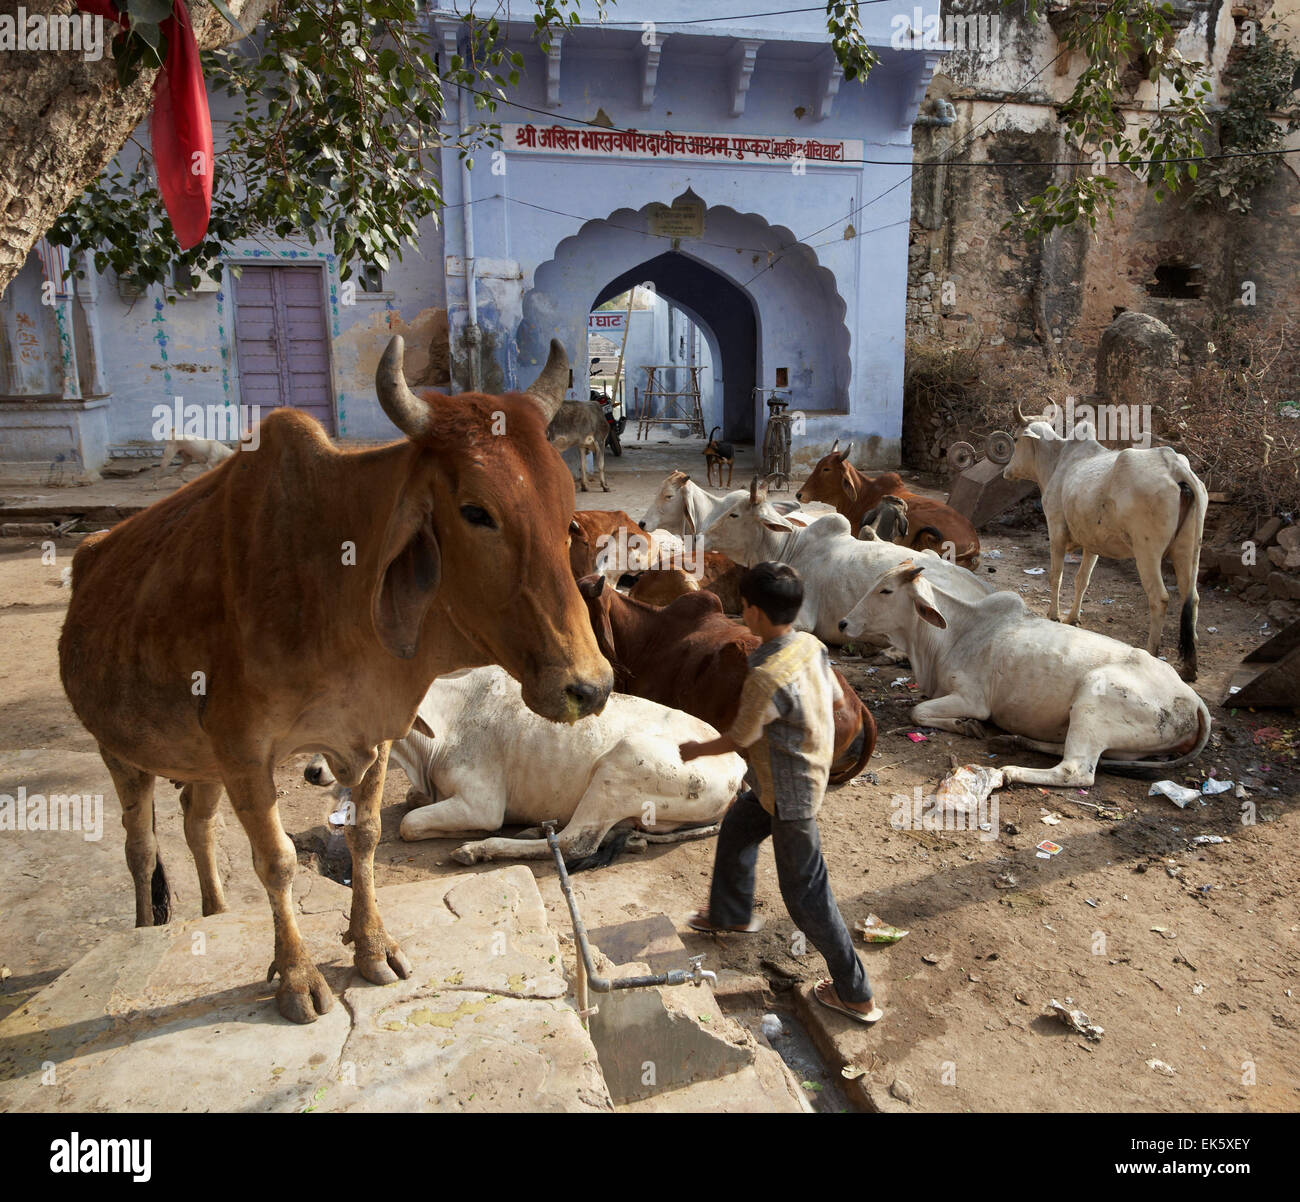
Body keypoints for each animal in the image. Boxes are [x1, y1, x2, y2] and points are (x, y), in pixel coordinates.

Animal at [58, 335, 613, 1025]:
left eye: (567, 511)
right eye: (475, 511)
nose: (589, 686)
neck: (332, 580)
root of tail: (92, 553)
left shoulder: (368, 733)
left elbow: (366, 838)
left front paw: (372, 946)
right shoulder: (244, 752)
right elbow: (276, 861)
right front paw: (296, 976)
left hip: (199, 760)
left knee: (196, 826)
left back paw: (214, 915)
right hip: (121, 752)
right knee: (141, 846)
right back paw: (145, 930)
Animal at [307, 666, 744, 866]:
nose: (312, 771)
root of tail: (739, 764)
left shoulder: (482, 805)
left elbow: (410, 824)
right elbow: (413, 802)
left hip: (620, 763)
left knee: (574, 841)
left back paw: (480, 849)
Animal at [837, 562, 1210, 787]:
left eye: (886, 590)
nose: (843, 623)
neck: (953, 633)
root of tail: (1193, 699)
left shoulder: (973, 699)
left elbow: (918, 712)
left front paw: (966, 726)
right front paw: (967, 727)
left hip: (1093, 698)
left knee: (1076, 770)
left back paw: (1009, 771)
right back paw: (1014, 740)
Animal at [1003, 402, 1208, 681]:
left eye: (1015, 438)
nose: (1006, 472)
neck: (1057, 461)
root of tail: (1175, 467)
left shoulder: (1056, 530)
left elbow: (1055, 576)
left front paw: (1054, 615)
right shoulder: (1092, 544)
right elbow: (1082, 581)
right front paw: (1073, 617)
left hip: (1147, 552)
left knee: (1160, 598)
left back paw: (1151, 654)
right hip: (1187, 550)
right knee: (1192, 598)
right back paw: (1189, 666)